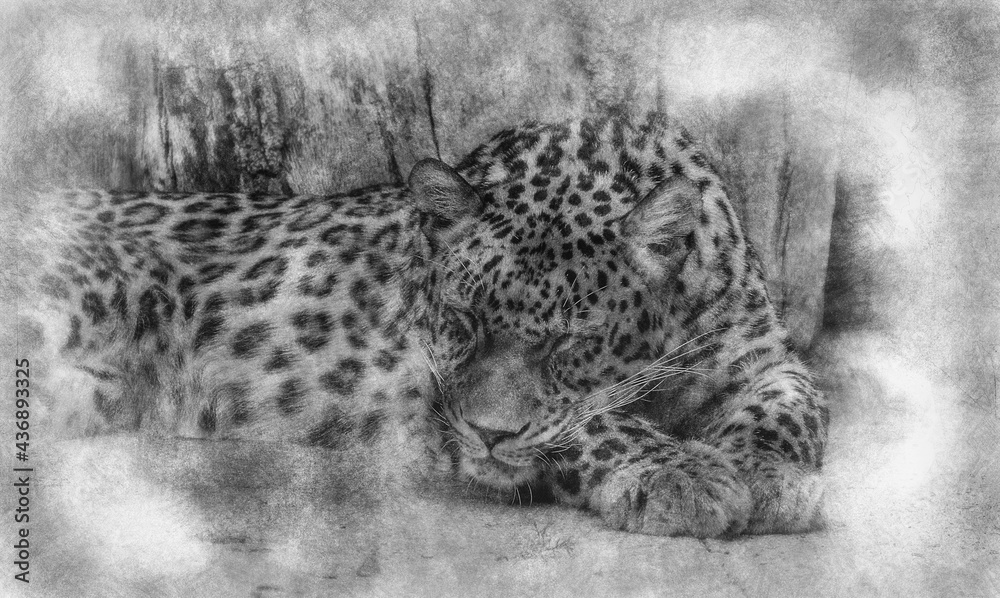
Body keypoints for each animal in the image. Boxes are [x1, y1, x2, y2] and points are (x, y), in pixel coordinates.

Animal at [12, 113, 827, 538]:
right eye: (462, 320)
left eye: (571, 343)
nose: (489, 436)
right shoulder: (421, 382)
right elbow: (594, 418)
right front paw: (686, 474)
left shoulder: (762, 355)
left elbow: (796, 406)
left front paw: (769, 475)